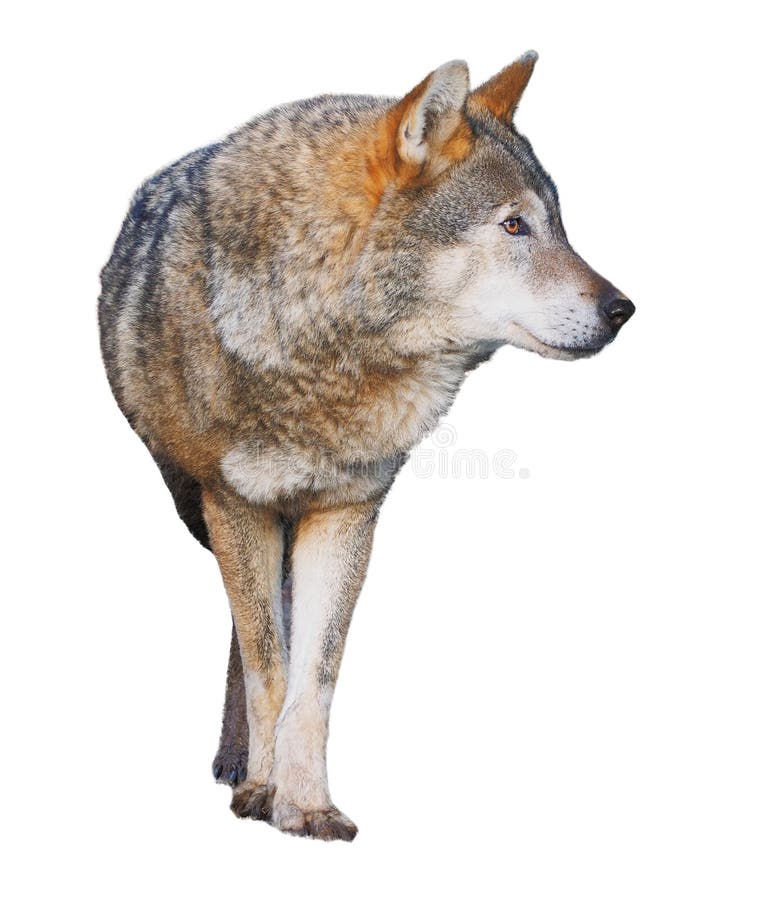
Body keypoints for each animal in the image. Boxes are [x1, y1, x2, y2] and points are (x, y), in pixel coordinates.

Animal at [99, 52, 634, 841]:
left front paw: (306, 804)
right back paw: (236, 762)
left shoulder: (349, 512)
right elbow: (269, 667)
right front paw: (262, 792)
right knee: (243, 630)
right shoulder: (237, 506)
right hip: (197, 511)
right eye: (514, 225)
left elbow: (314, 678)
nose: (622, 309)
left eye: (558, 226)